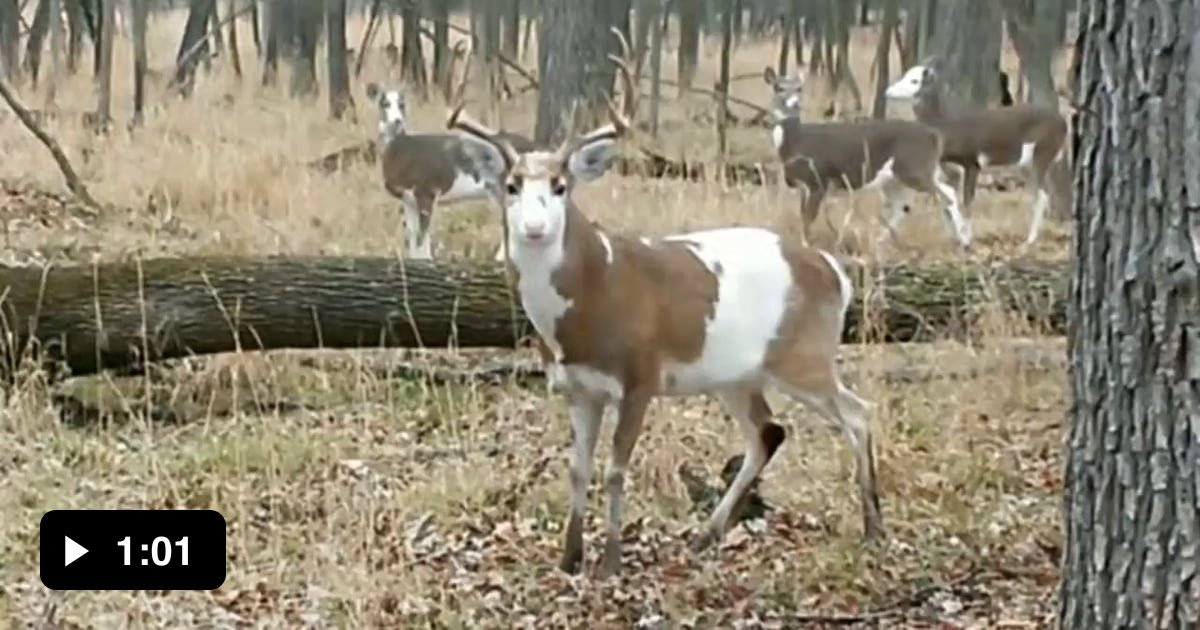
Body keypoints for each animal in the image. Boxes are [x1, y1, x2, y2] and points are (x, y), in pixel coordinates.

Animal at [367, 42, 537, 260]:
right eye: (385, 103)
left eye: (402, 105)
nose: (397, 121)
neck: (402, 152)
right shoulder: (407, 198)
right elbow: (413, 235)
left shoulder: (427, 189)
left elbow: (423, 237)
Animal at [445, 51, 884, 579]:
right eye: (510, 186)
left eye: (560, 186)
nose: (534, 227)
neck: (591, 299)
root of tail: (835, 272)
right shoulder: (577, 388)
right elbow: (578, 468)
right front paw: (570, 558)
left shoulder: (641, 377)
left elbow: (615, 470)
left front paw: (610, 561)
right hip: (735, 374)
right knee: (767, 432)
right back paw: (706, 536)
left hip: (804, 355)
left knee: (858, 412)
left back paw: (874, 527)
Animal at [884, 58, 1068, 251]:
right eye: (905, 75)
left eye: (915, 80)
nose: (888, 91)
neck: (949, 130)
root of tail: (1063, 124)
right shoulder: (950, 170)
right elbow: (948, 203)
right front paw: (955, 239)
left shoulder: (972, 163)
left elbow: (966, 202)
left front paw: (967, 240)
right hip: (1024, 166)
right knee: (1040, 196)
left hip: (1042, 154)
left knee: (1043, 196)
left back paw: (1030, 242)